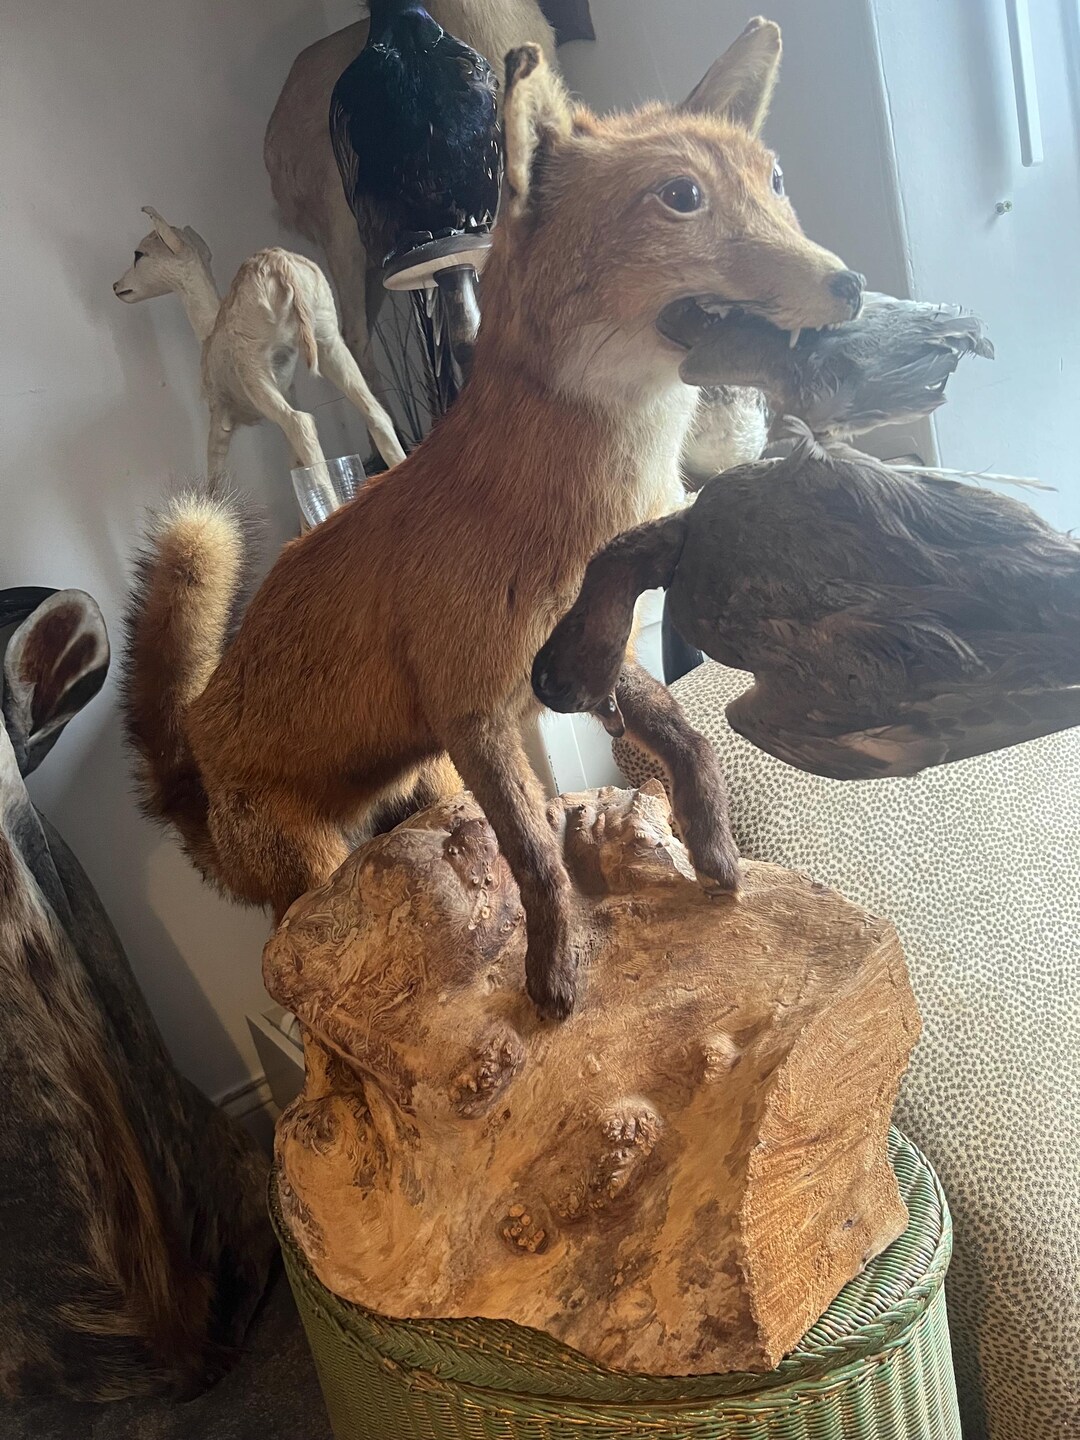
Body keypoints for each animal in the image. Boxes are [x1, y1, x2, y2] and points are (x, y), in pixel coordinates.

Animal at [124, 18, 864, 1020]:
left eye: (775, 183)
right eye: (682, 197)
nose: (850, 285)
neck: (556, 514)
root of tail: (197, 756)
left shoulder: (580, 658)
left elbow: (687, 739)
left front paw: (715, 852)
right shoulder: (475, 712)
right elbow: (540, 860)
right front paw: (554, 981)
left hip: (427, 775)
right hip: (314, 866)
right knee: (291, 955)